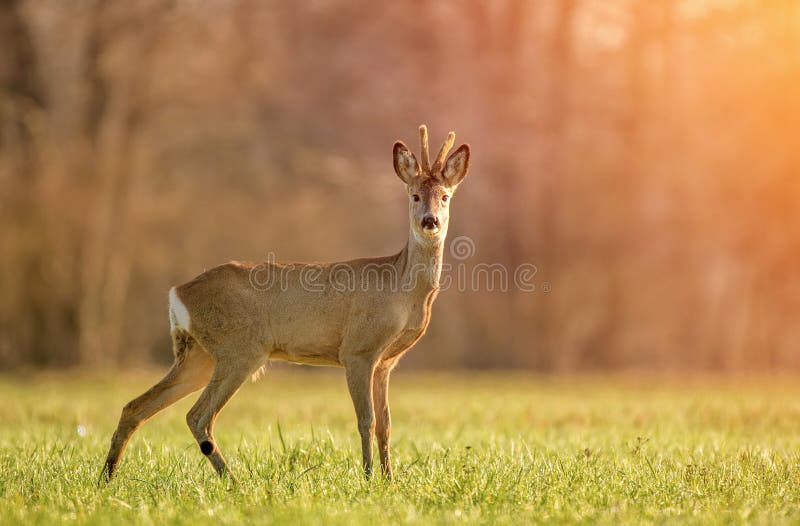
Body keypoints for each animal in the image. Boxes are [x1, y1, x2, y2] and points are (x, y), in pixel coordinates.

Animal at [101, 125, 470, 483]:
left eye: (445, 196)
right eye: (415, 195)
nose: (430, 221)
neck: (401, 289)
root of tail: (177, 292)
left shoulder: (386, 363)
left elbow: (387, 425)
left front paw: (390, 479)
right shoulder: (358, 349)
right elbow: (367, 420)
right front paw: (368, 480)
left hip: (199, 354)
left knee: (134, 407)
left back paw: (107, 478)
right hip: (240, 348)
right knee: (197, 416)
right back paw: (234, 482)